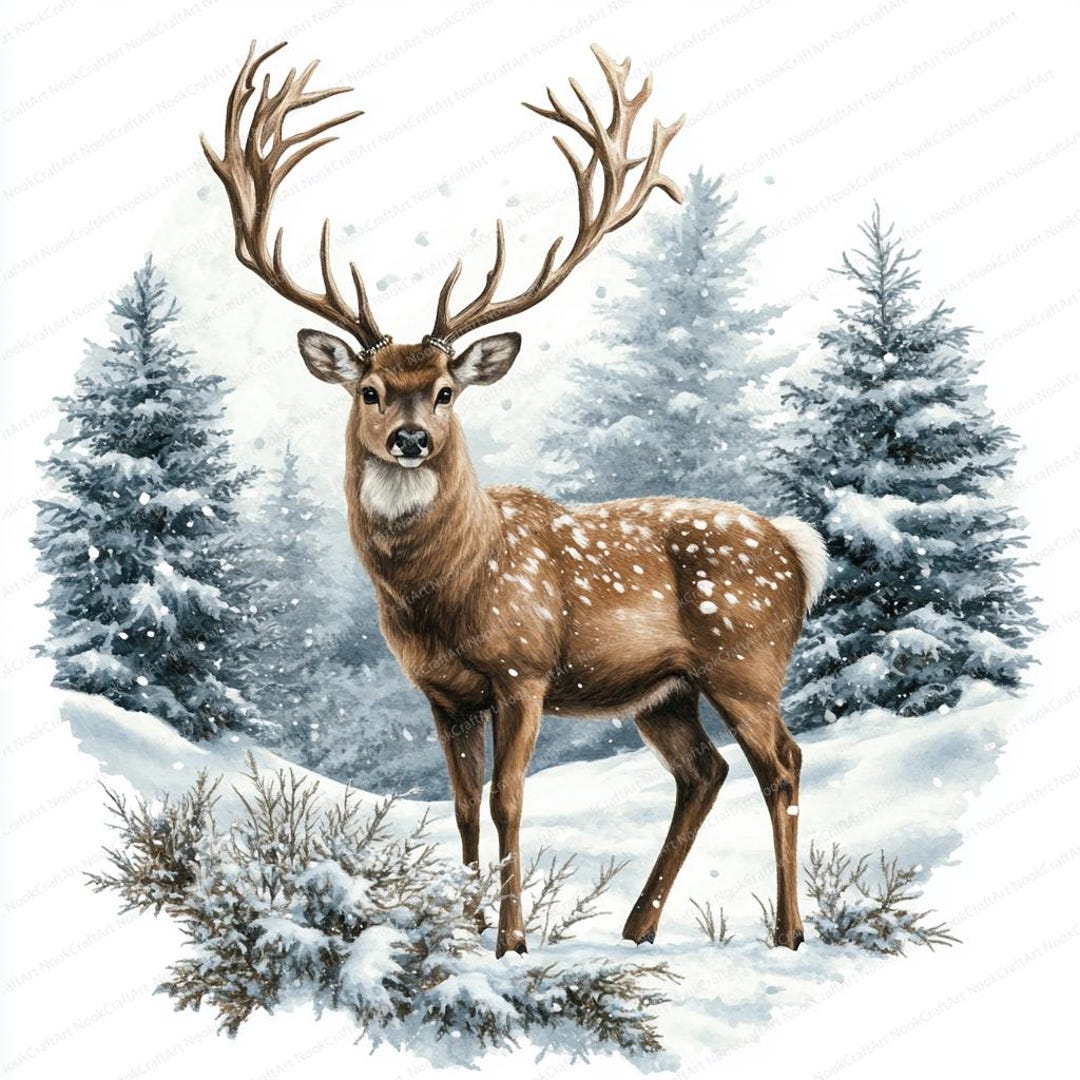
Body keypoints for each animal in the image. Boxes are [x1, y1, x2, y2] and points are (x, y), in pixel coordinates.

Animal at [202, 41, 827, 958]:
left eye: (448, 390)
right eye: (371, 390)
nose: (411, 439)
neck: (447, 590)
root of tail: (796, 546)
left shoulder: (522, 671)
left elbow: (507, 799)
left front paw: (511, 940)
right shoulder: (443, 693)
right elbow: (462, 806)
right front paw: (459, 930)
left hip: (746, 659)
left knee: (781, 762)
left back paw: (786, 933)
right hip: (667, 690)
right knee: (704, 772)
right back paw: (638, 927)